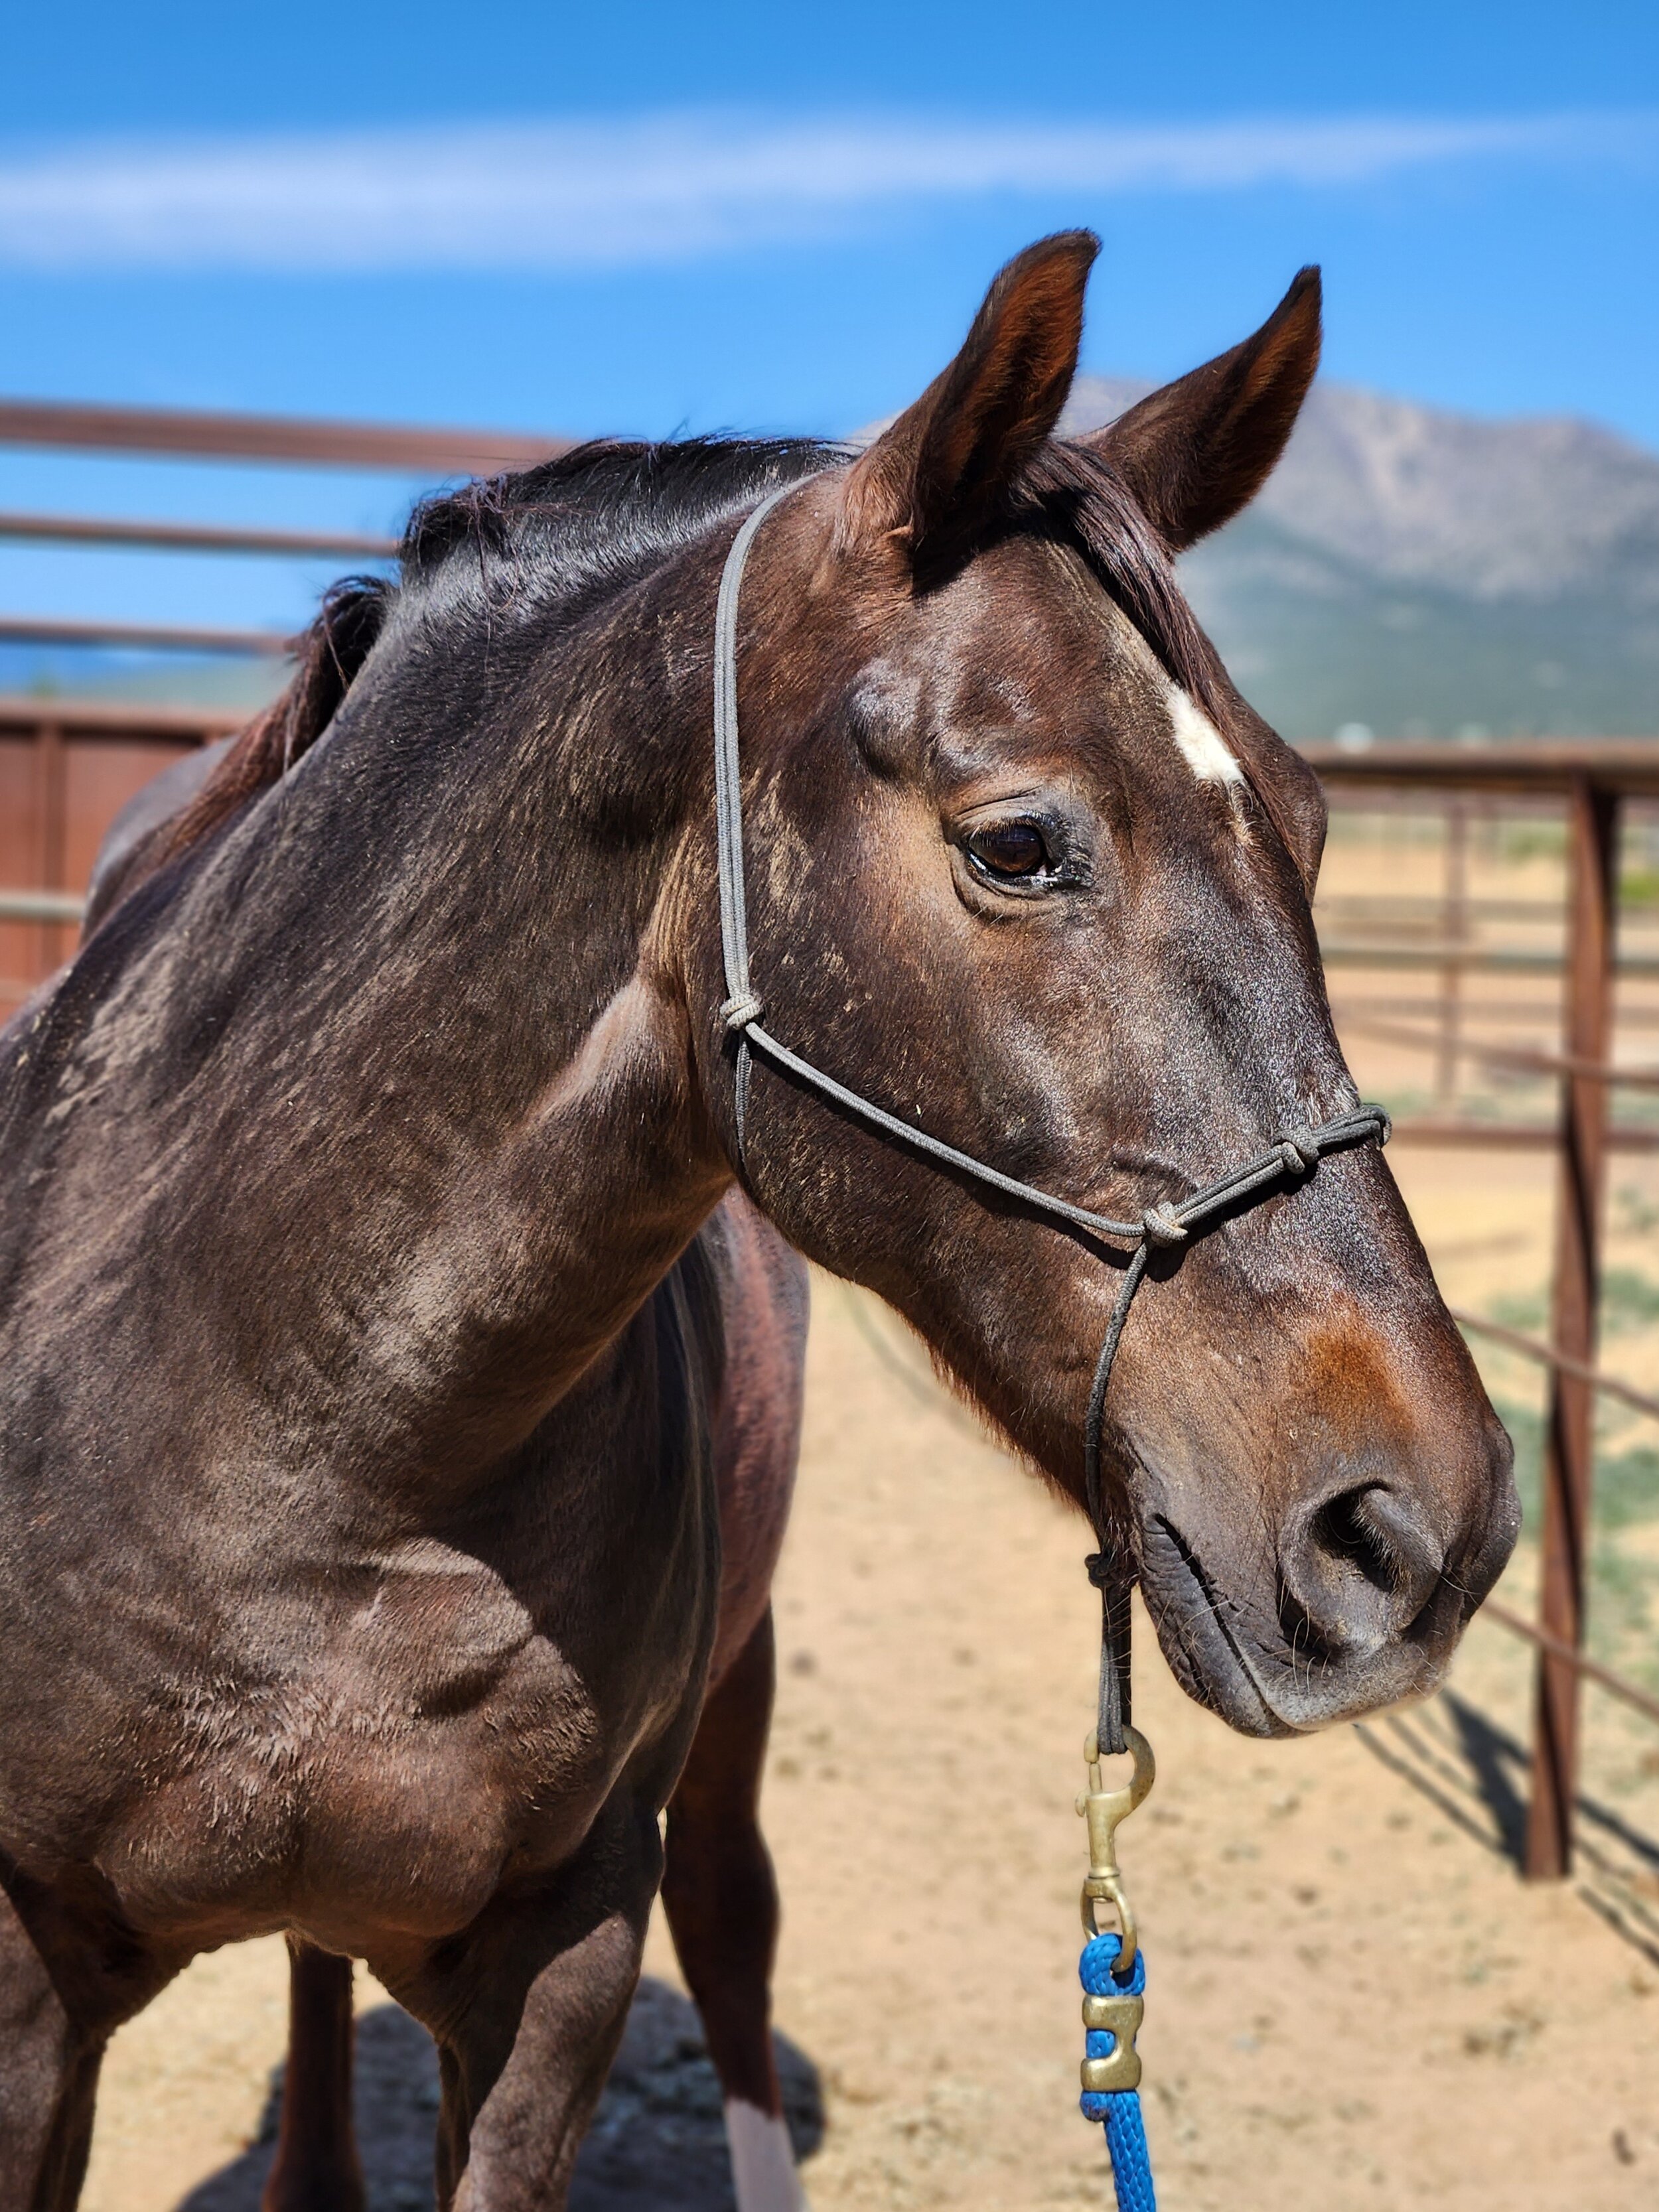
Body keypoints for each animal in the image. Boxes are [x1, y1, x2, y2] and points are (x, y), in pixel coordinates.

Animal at [0, 230, 1517, 2210]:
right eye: (1016, 842)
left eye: (1316, 821)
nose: (1420, 1529)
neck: (297, 1440)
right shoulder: (25, 1976)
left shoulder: (561, 1962)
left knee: (726, 1923)